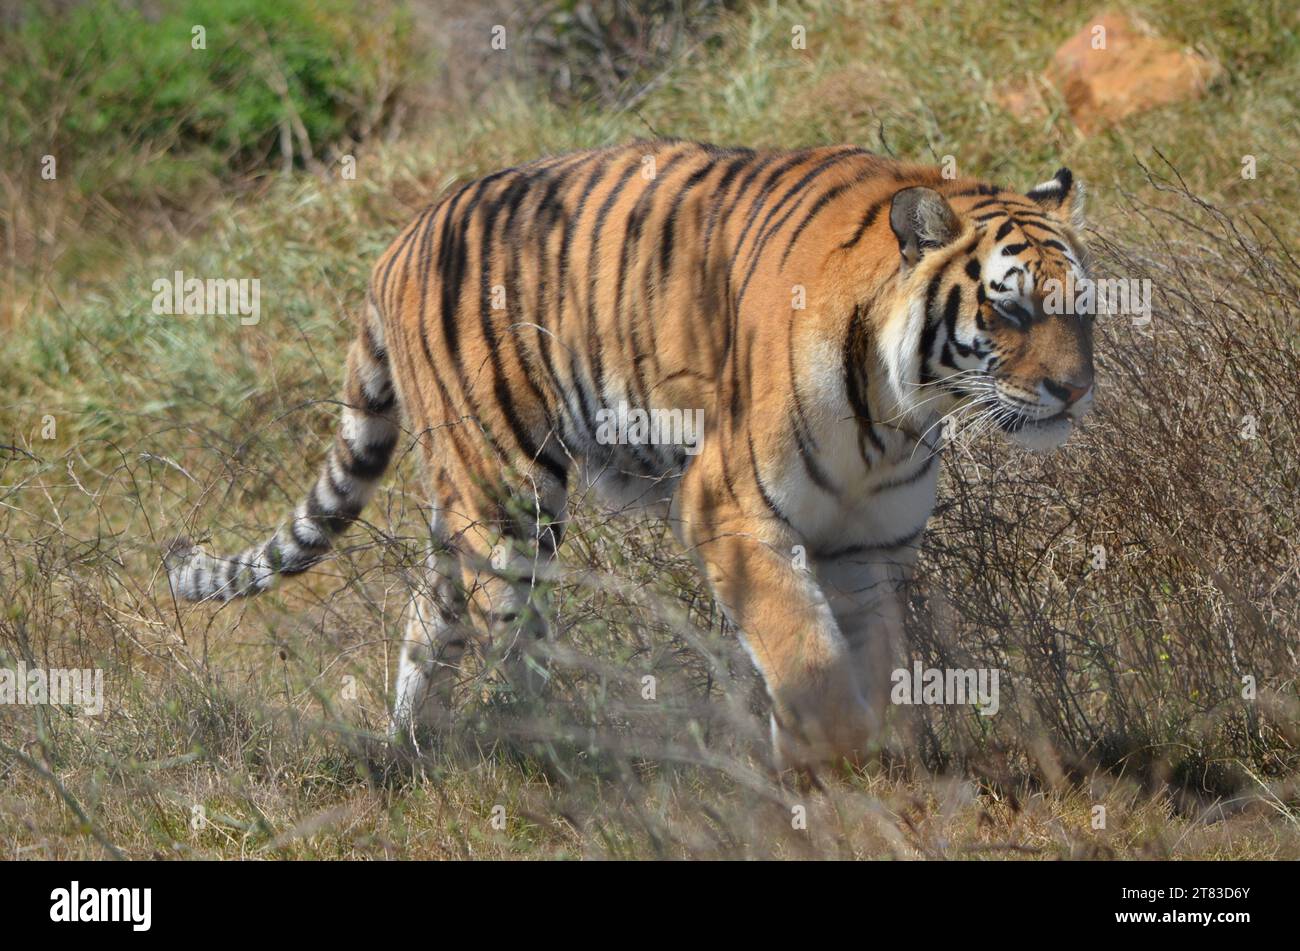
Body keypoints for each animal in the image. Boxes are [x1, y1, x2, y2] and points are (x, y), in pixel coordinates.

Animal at [166, 140, 1094, 768]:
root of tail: (399, 241)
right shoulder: (732, 509)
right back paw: (562, 765)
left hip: (459, 496)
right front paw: (826, 769)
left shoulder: (868, 544)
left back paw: (413, 752)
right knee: (514, 641)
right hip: (510, 499)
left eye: (1081, 305)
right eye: (1010, 310)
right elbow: (805, 653)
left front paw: (875, 765)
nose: (1075, 389)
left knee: (429, 614)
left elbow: (870, 660)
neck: (900, 409)